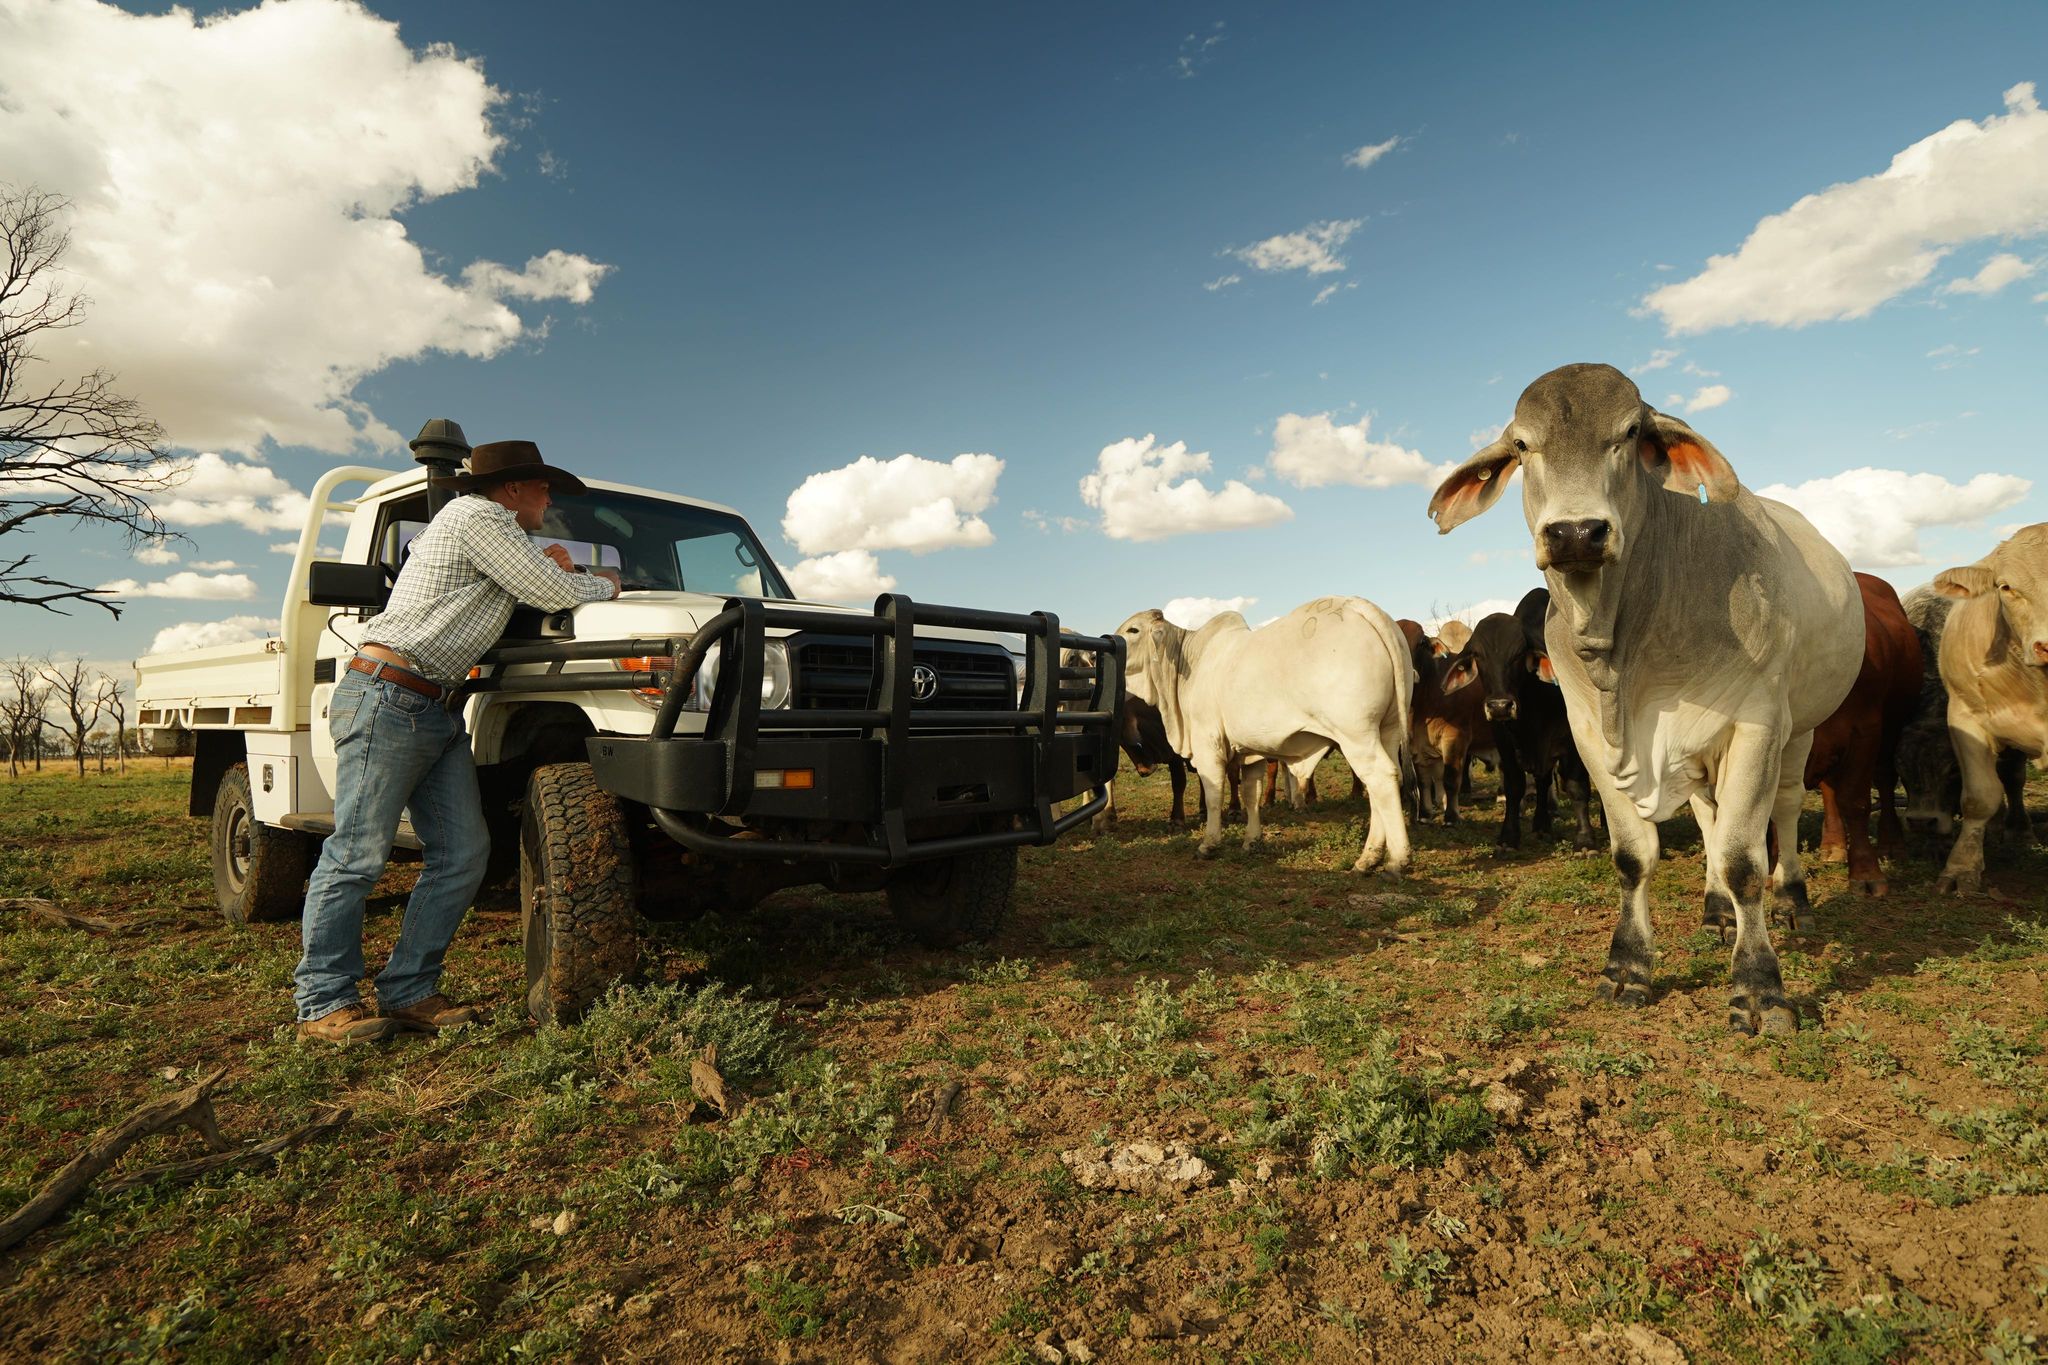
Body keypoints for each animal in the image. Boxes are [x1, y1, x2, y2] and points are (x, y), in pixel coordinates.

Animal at [1116, 598, 1413, 873]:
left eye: (1133, 630)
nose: (1107, 645)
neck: (1189, 663)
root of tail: (1358, 606)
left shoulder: (1209, 746)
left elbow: (1213, 795)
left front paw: (1208, 844)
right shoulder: (1251, 753)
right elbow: (1251, 795)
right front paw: (1252, 841)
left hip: (1356, 735)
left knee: (1381, 778)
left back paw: (1395, 860)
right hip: (1387, 731)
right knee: (1384, 783)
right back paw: (1370, 858)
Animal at [1440, 589, 1598, 850]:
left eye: (1517, 655)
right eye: (1478, 656)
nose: (1500, 706)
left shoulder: (1573, 739)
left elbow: (1577, 785)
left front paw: (1585, 839)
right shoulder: (1505, 741)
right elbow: (1515, 786)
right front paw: (1508, 837)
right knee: (1543, 782)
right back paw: (1542, 825)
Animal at [1793, 574, 1921, 896]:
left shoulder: (1866, 729)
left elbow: (1855, 800)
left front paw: (1866, 872)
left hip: (1890, 729)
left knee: (1885, 780)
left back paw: (1891, 844)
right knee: (1829, 788)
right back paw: (1834, 846)